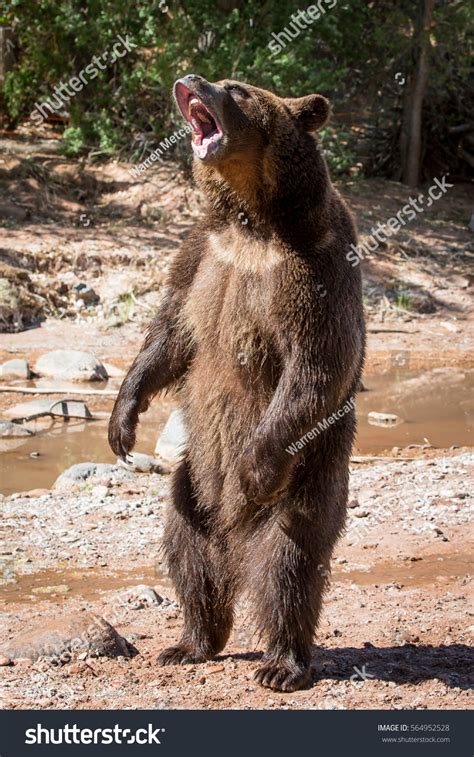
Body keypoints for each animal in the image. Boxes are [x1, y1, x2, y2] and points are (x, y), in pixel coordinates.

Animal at [108, 74, 365, 692]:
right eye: (214, 78)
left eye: (236, 88)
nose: (189, 79)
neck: (252, 219)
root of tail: (234, 529)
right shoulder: (202, 254)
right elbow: (171, 333)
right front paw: (122, 421)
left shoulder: (313, 267)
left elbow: (316, 363)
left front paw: (254, 468)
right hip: (196, 476)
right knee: (188, 546)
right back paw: (192, 640)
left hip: (311, 472)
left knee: (289, 562)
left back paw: (282, 662)